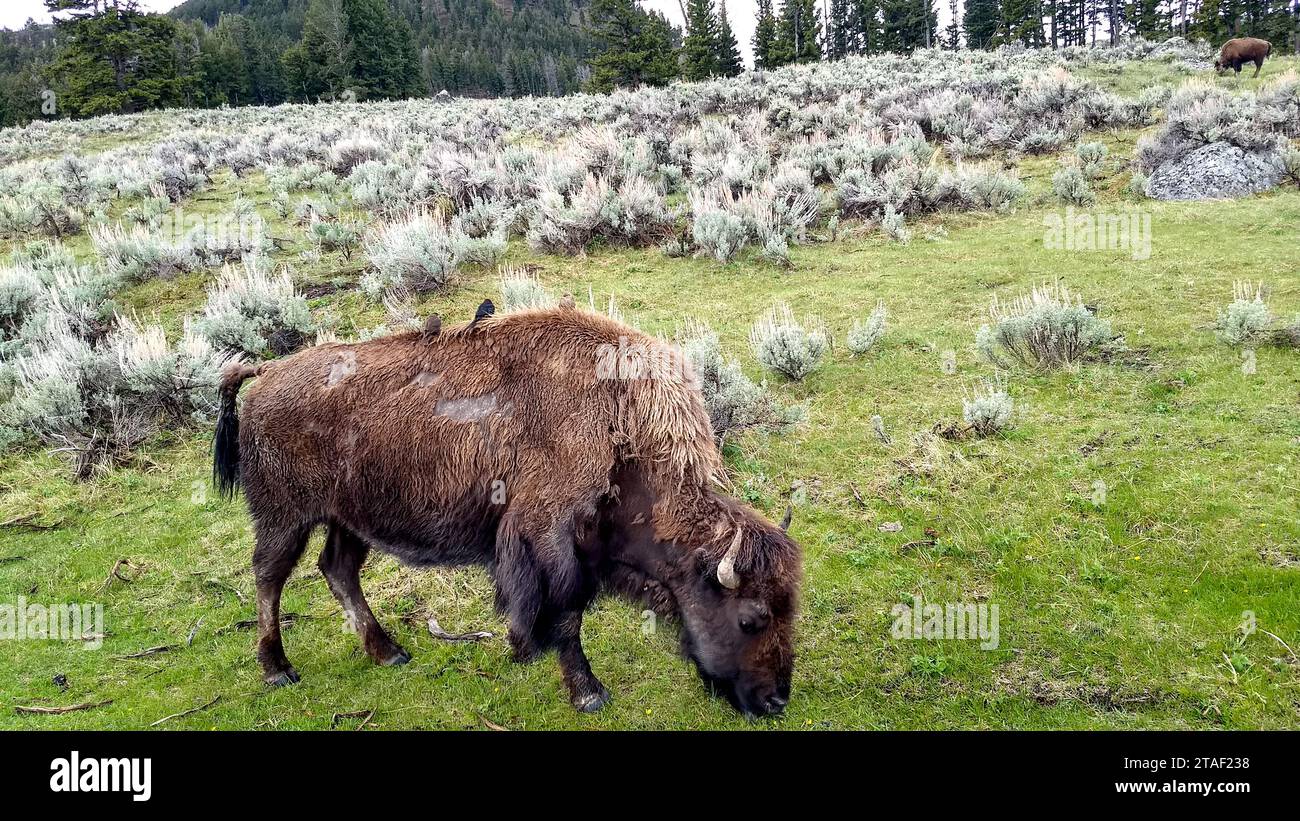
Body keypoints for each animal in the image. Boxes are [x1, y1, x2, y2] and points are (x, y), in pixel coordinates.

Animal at [213, 305, 801, 716]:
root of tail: (266, 372)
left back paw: (389, 652)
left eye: (789, 609)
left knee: (337, 570)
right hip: (285, 517)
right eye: (751, 618)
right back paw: (278, 669)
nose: (776, 701)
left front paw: (525, 653)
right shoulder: (550, 538)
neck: (619, 427)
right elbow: (567, 612)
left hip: (348, 520)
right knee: (269, 576)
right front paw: (587, 692)